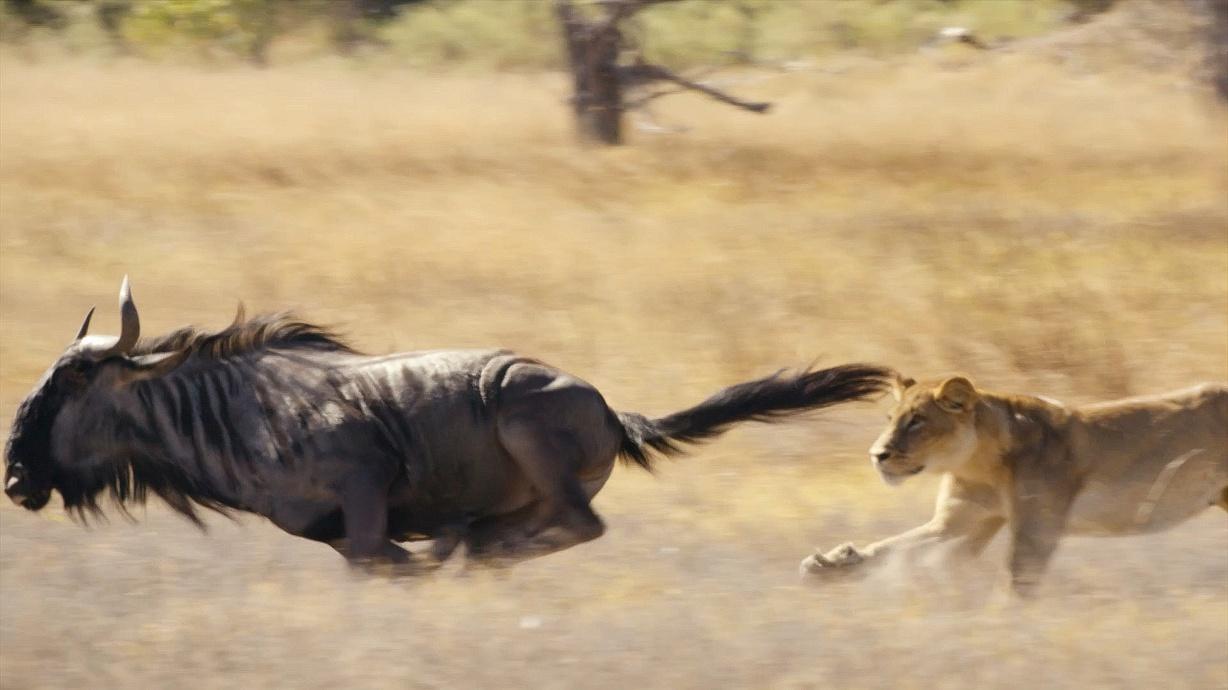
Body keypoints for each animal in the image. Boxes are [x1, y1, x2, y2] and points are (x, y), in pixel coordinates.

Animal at [799, 375, 1228, 596]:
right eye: (891, 418)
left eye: (918, 421)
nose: (877, 455)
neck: (977, 464)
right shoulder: (961, 521)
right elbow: (895, 545)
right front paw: (831, 564)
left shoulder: (1037, 528)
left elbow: (1017, 580)